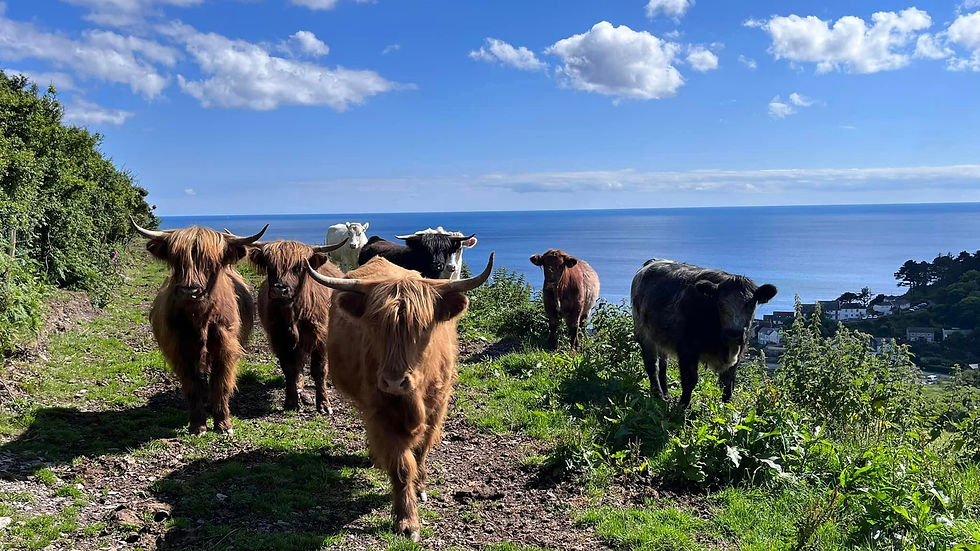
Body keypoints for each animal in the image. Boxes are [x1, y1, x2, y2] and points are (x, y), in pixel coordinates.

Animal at [131, 218, 267, 435]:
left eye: (209, 262)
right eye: (177, 261)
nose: (189, 291)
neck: (200, 319)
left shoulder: (226, 348)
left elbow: (221, 384)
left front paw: (223, 424)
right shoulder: (180, 351)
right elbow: (193, 387)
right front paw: (198, 425)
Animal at [247, 237, 349, 413]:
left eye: (298, 267)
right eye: (270, 266)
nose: (279, 290)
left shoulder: (320, 338)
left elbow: (319, 370)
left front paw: (324, 404)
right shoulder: (280, 339)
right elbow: (289, 369)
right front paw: (291, 401)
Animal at [305, 252, 494, 541]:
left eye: (424, 328)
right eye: (374, 326)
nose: (394, 381)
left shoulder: (437, 409)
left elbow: (421, 452)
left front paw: (421, 486)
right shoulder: (381, 412)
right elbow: (402, 466)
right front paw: (407, 521)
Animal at [630, 259, 777, 408]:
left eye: (751, 304)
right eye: (720, 304)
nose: (733, 334)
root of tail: (653, 261)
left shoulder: (738, 354)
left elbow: (727, 385)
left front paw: (726, 408)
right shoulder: (687, 350)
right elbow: (690, 380)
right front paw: (682, 407)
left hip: (661, 337)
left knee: (663, 365)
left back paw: (665, 395)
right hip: (643, 333)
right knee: (652, 365)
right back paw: (658, 395)